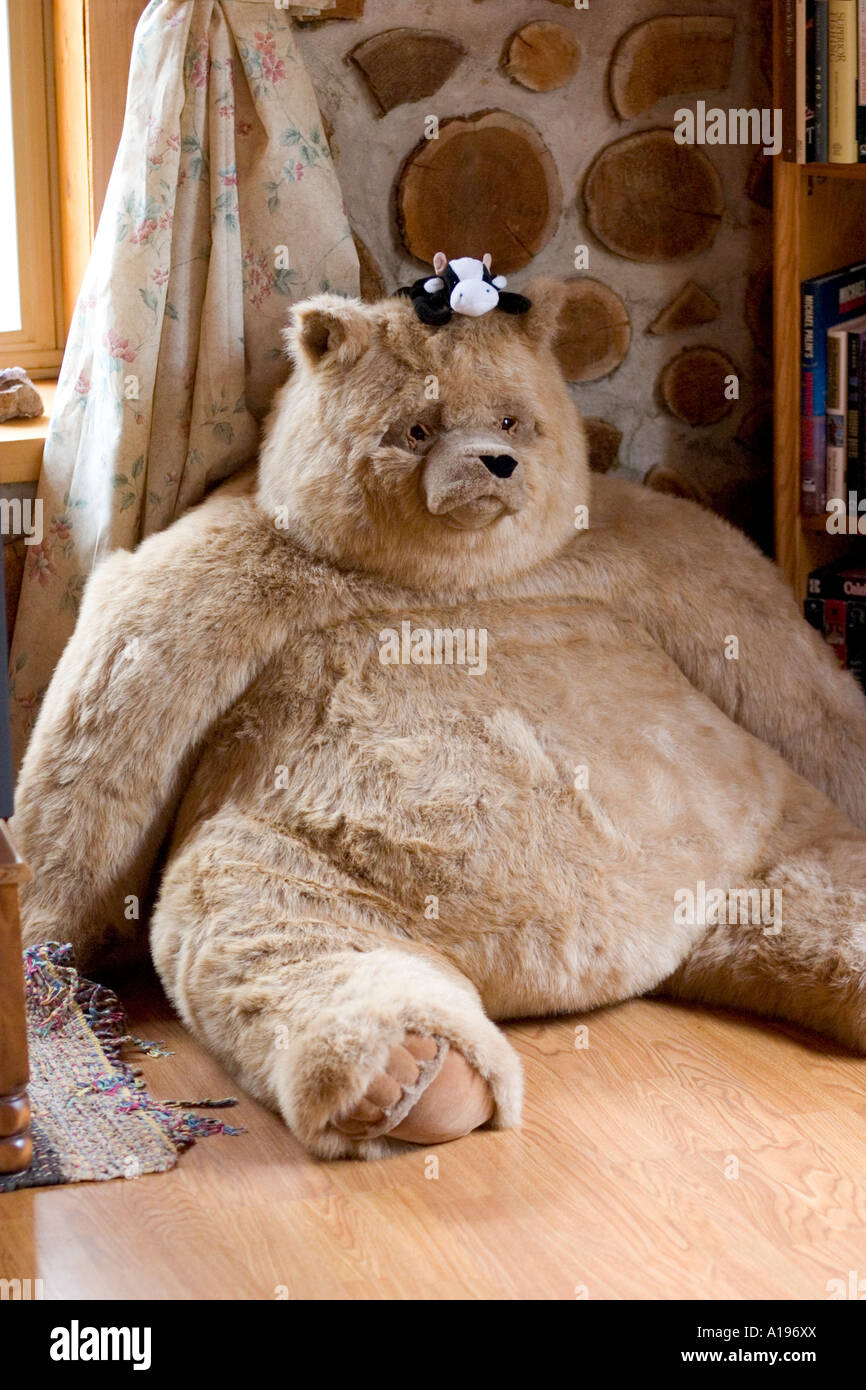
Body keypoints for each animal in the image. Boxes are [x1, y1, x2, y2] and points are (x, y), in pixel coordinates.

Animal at [12, 280, 866, 1160]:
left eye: (512, 421)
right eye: (417, 429)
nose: (497, 462)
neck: (452, 581)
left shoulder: (660, 557)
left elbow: (784, 671)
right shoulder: (223, 576)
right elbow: (109, 718)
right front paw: (44, 945)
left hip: (771, 826)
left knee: (818, 877)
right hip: (288, 867)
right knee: (276, 932)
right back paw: (410, 1075)